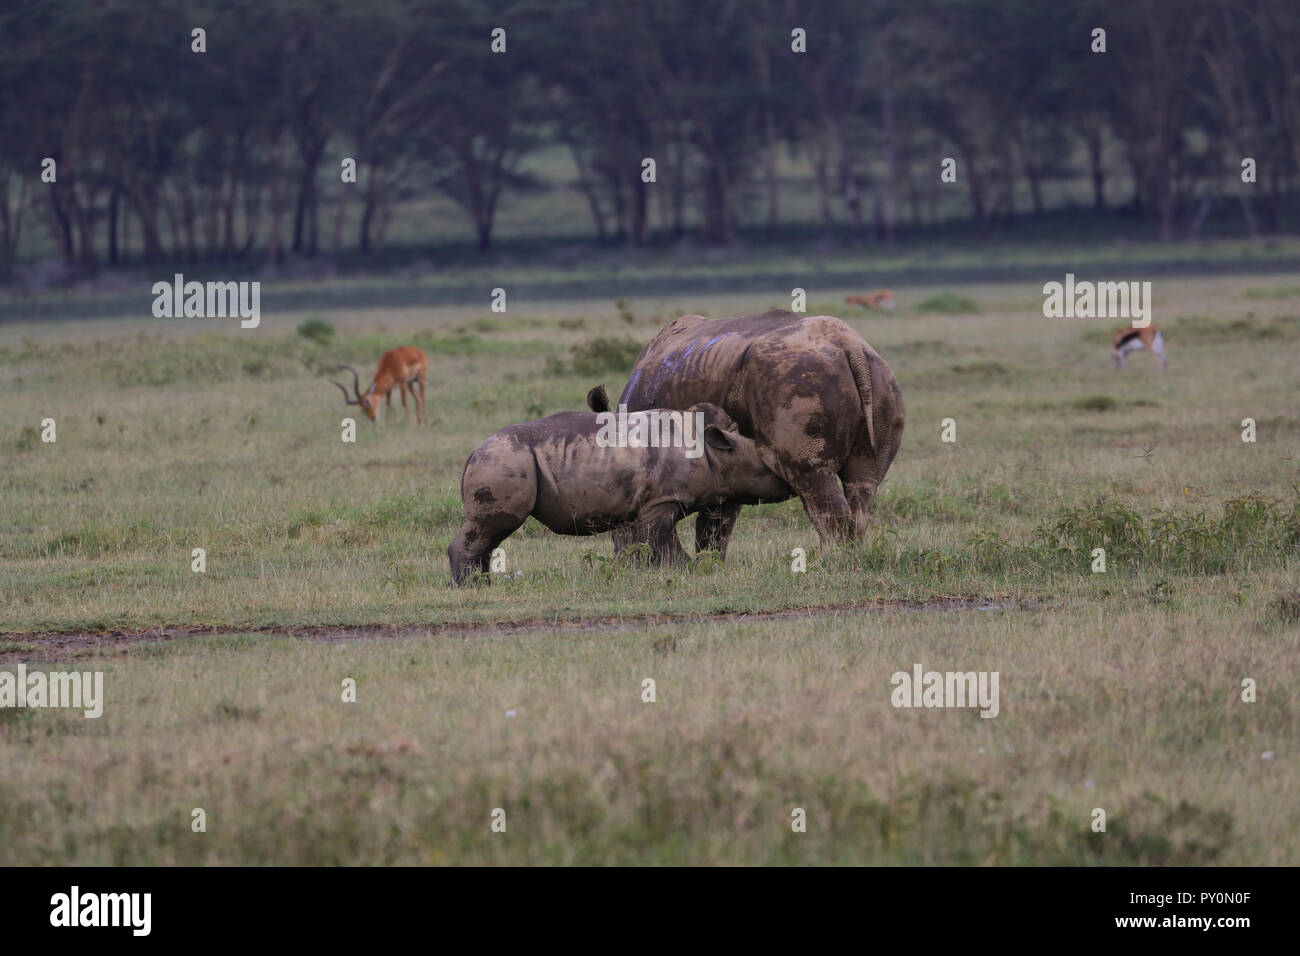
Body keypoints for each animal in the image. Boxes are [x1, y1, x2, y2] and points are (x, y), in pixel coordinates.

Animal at [448, 402, 790, 584]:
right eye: (767, 468)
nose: (790, 485)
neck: (715, 454)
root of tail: (473, 452)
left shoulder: (650, 504)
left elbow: (649, 541)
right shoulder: (662, 502)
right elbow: (661, 541)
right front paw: (683, 571)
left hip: (504, 460)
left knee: (490, 533)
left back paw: (482, 585)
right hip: (505, 459)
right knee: (493, 526)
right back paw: (469, 588)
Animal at [589, 310, 904, 555]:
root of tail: (850, 347)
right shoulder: (726, 465)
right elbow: (717, 521)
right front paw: (709, 564)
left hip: (796, 379)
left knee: (811, 475)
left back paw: (830, 562)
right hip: (881, 379)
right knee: (864, 483)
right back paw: (851, 557)